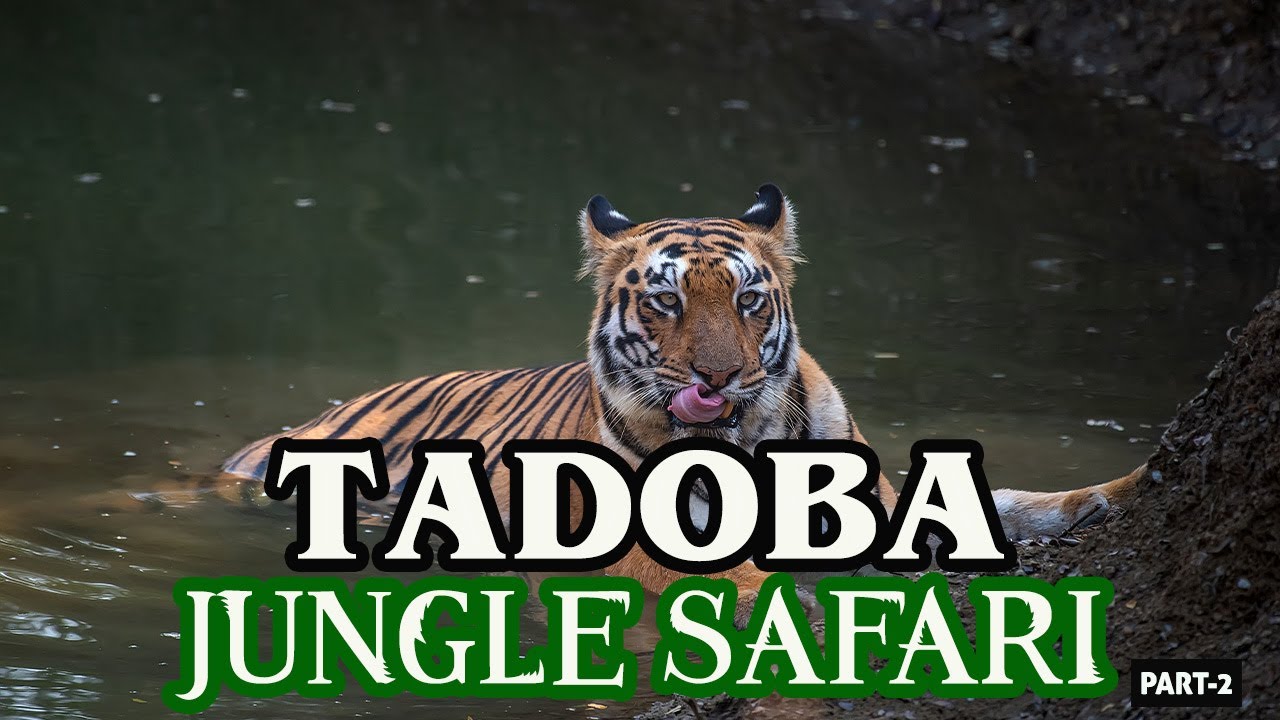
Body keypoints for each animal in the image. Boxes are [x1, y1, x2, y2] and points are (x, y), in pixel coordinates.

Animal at [223, 183, 1143, 620]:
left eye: (748, 300)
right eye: (666, 302)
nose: (719, 378)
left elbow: (1028, 501)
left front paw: (1135, 484)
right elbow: (743, 575)